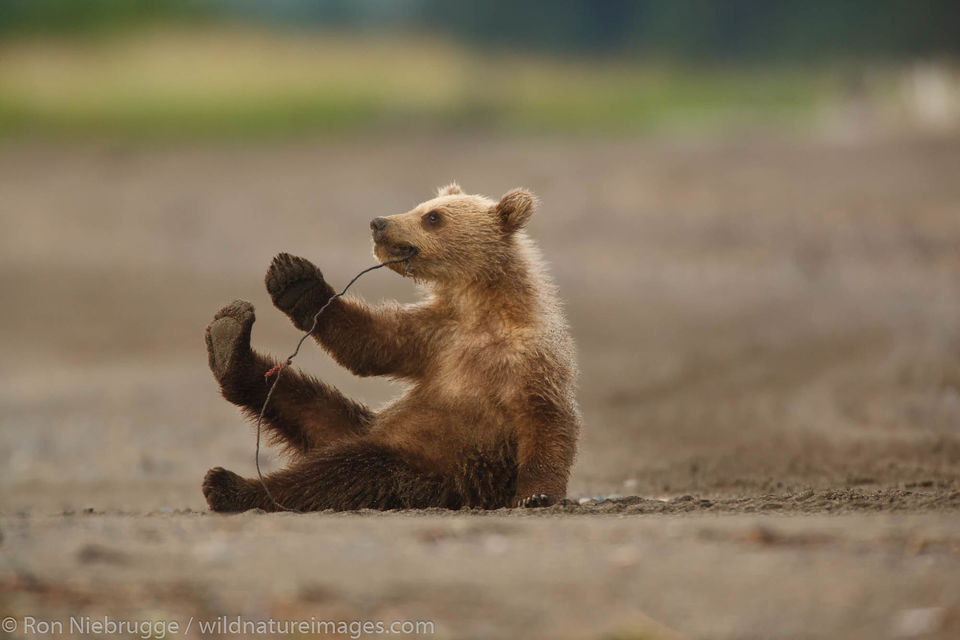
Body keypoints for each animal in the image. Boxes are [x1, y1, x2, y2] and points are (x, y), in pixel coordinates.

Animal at [201, 183, 581, 512]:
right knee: (301, 400)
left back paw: (230, 485)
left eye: (433, 217)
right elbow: (372, 343)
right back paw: (228, 341)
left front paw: (535, 495)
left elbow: (548, 421)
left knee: (342, 472)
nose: (378, 222)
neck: (479, 313)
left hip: (422, 467)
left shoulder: (527, 361)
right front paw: (296, 281)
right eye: (422, 206)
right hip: (364, 423)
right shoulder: (435, 338)